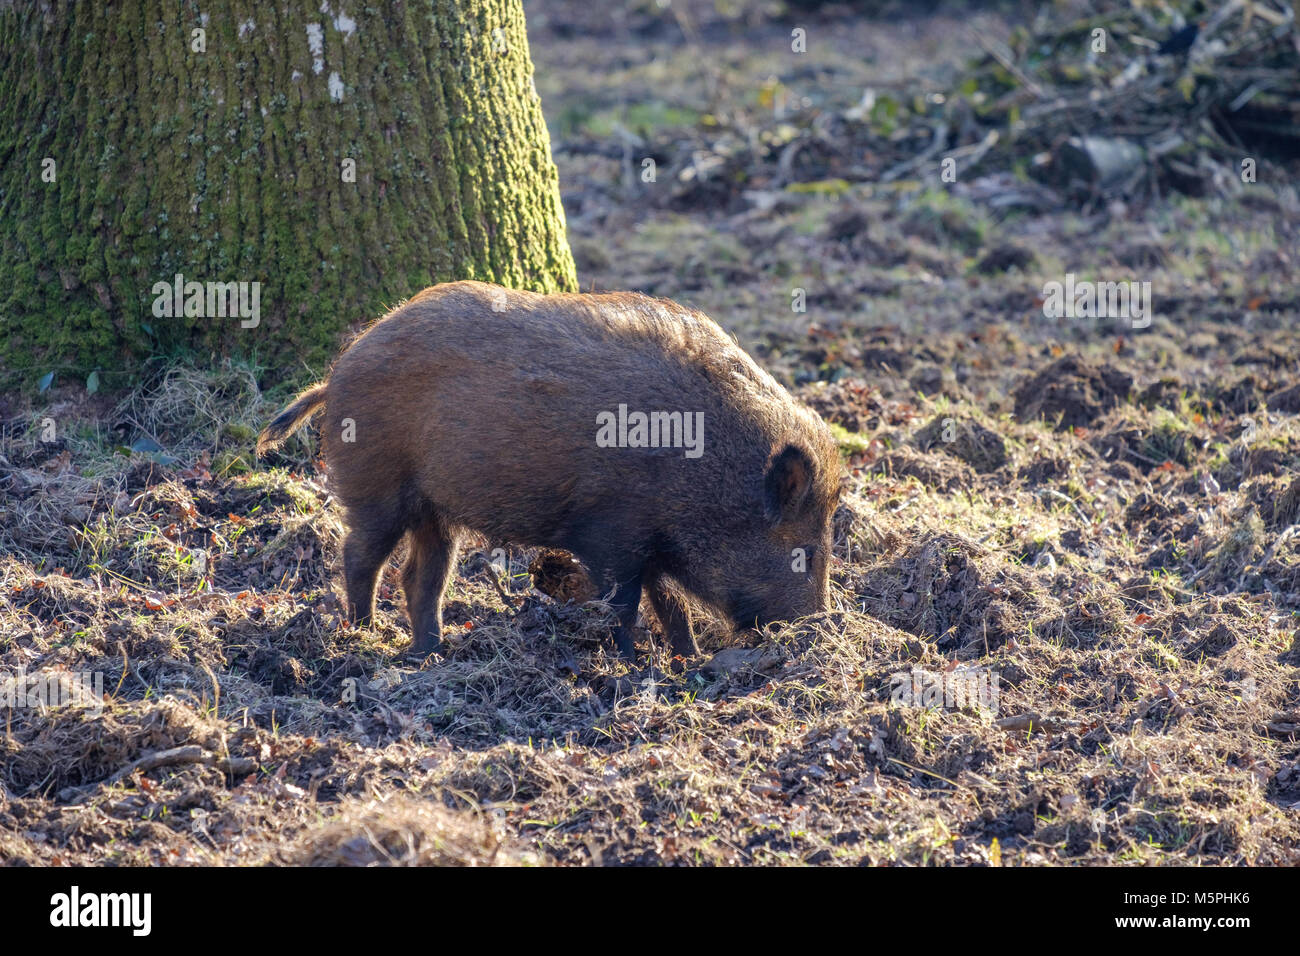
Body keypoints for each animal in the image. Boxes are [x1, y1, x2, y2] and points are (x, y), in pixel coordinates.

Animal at [256, 281, 841, 662]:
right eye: (806, 553)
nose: (816, 629)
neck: (708, 471)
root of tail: (335, 377)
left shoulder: (649, 543)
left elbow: (669, 603)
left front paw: (690, 660)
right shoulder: (613, 535)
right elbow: (622, 605)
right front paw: (631, 664)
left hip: (434, 509)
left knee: (423, 574)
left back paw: (432, 653)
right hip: (378, 488)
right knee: (359, 556)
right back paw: (364, 634)